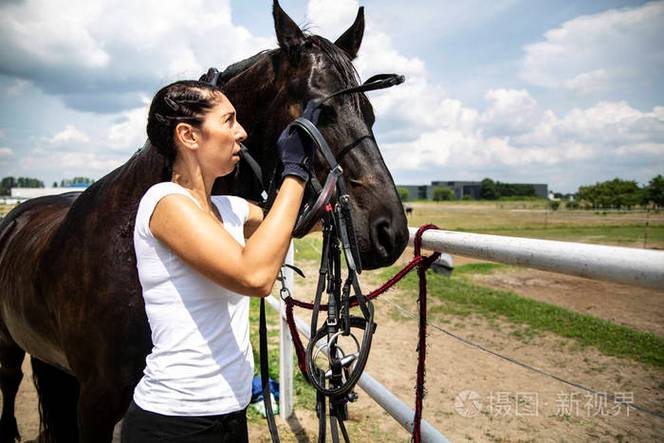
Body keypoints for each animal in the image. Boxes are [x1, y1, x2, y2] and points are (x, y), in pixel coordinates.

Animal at [0, 1, 408, 441]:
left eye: (370, 114)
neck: (123, 252)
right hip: (10, 344)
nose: (391, 231)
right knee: (9, 380)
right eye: (322, 112)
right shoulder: (96, 404)